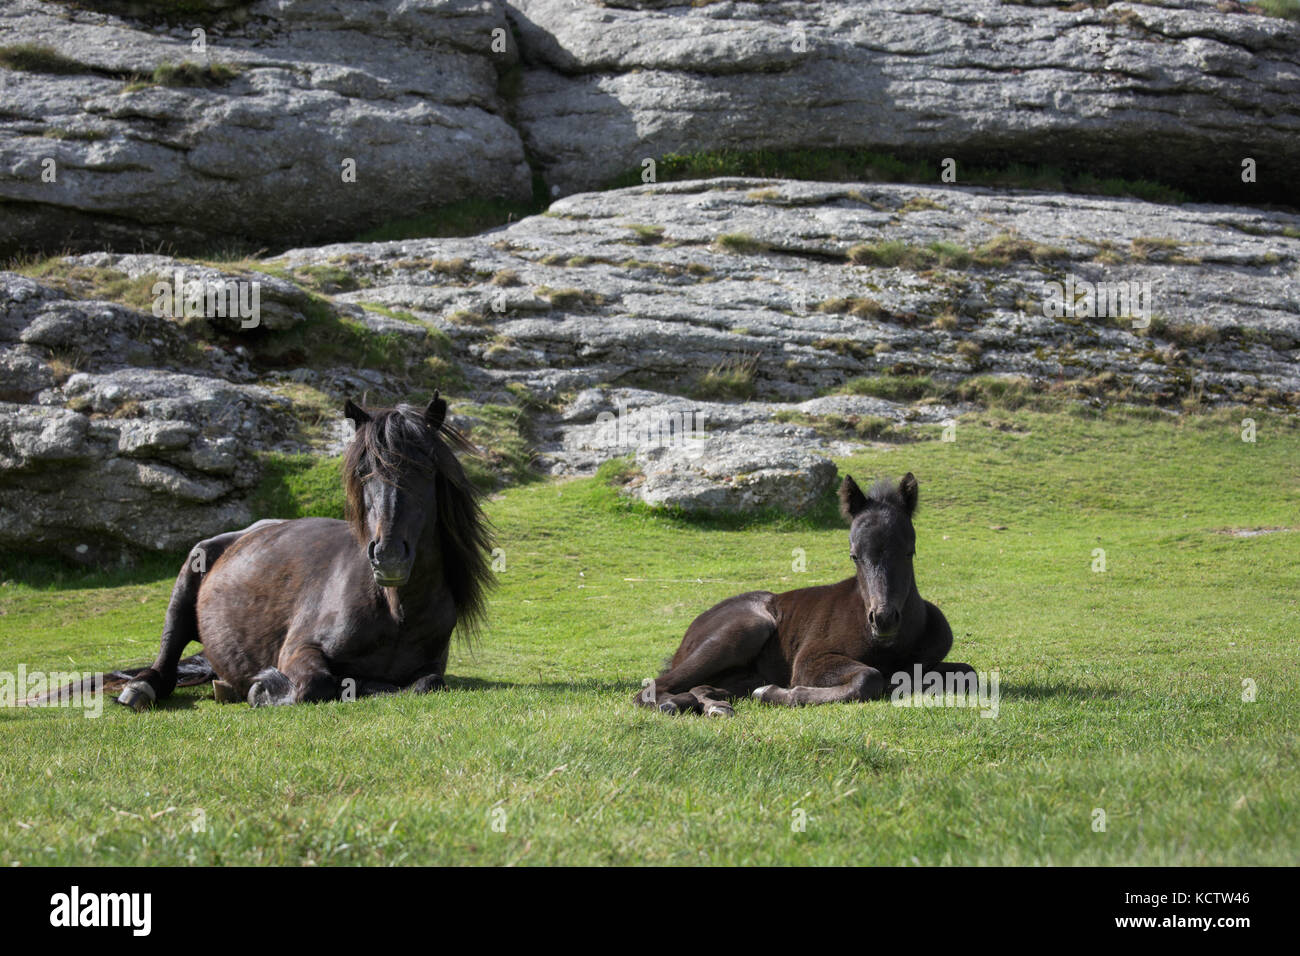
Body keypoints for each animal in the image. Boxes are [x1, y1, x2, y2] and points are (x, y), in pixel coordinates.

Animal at [113, 393, 493, 710]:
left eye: (425, 470)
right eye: (362, 470)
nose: (388, 556)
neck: (395, 611)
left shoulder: (432, 667)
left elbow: (427, 683)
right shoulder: (299, 649)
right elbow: (316, 684)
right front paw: (263, 689)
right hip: (185, 586)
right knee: (167, 657)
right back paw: (141, 688)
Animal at [635, 472, 975, 717]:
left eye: (909, 552)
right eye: (854, 555)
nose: (884, 619)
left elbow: (968, 672)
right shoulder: (810, 660)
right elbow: (869, 678)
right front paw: (775, 694)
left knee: (700, 687)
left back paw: (713, 705)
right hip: (747, 628)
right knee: (650, 689)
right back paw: (678, 703)